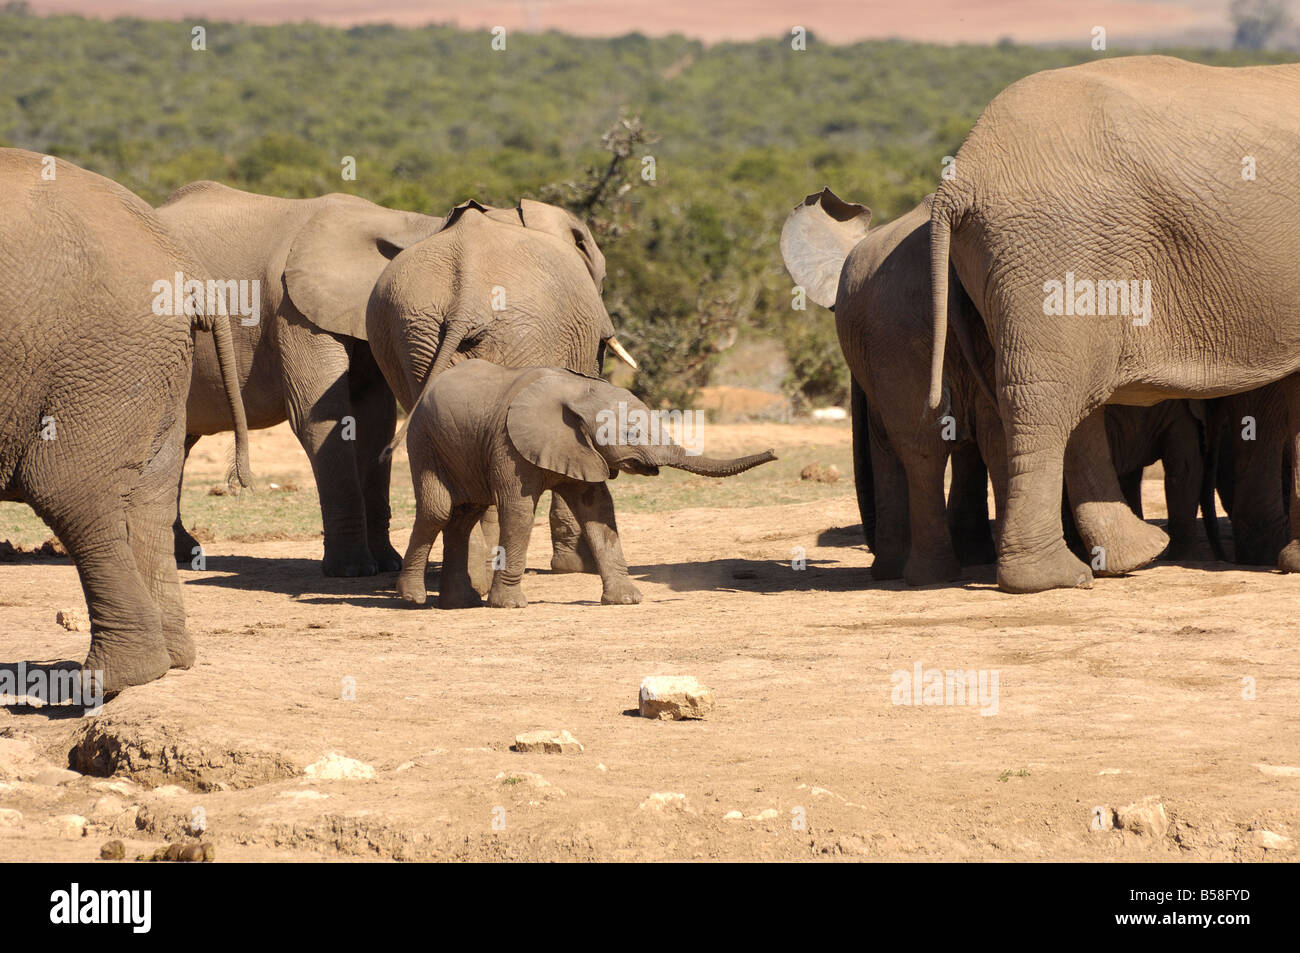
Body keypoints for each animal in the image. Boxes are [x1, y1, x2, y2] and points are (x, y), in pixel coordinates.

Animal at [0, 149, 249, 695]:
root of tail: (185, 267)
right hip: (150, 362)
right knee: (148, 497)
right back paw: (169, 662)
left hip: (98, 354)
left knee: (69, 490)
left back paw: (105, 681)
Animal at [395, 360, 776, 609]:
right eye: (631, 434)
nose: (774, 452)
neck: (580, 393)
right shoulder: (508, 445)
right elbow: (518, 511)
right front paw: (511, 605)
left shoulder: (580, 449)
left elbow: (599, 510)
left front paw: (627, 600)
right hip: (425, 441)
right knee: (438, 511)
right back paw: (414, 597)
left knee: (463, 516)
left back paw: (460, 602)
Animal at [928, 56, 1300, 592]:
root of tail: (960, 176)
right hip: (1055, 249)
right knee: (1048, 398)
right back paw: (1052, 577)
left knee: (1064, 398)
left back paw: (1132, 556)